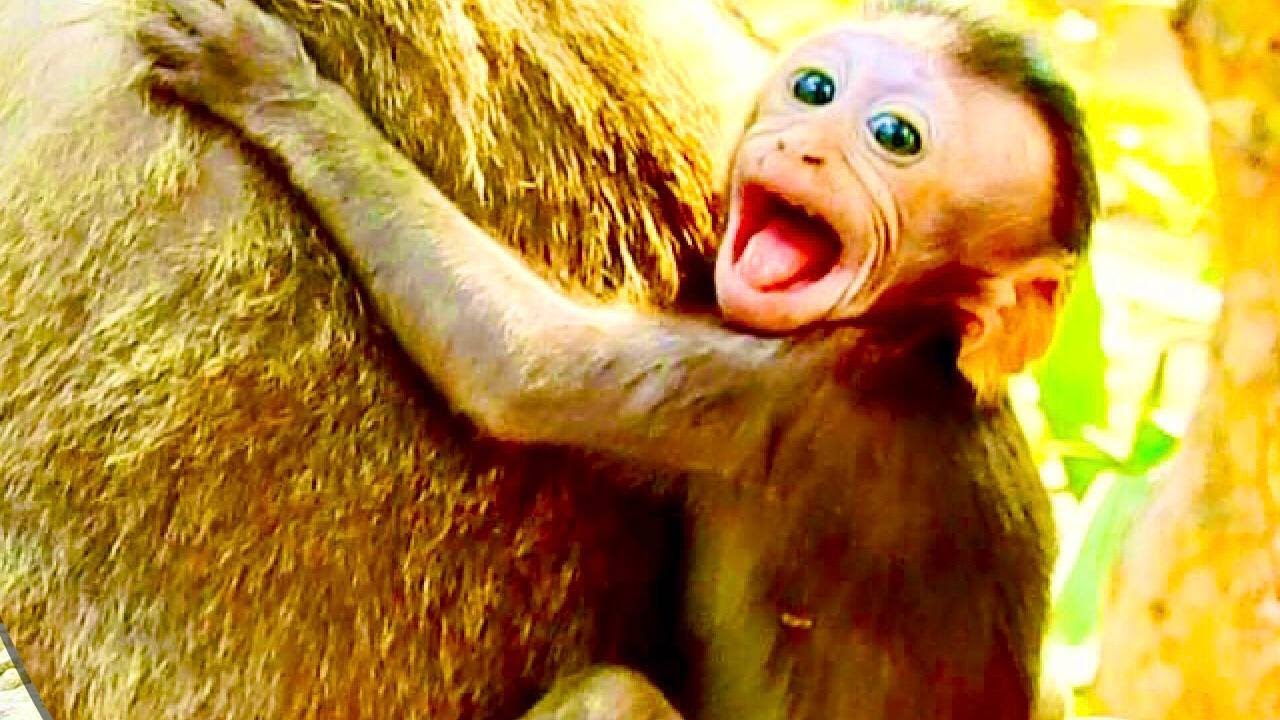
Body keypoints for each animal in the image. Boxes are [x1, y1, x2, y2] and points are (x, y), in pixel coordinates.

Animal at [135, 0, 1096, 718]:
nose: (805, 144)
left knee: (615, 697)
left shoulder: (794, 392)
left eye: (895, 136)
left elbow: (511, 369)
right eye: (814, 89)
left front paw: (281, 94)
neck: (918, 336)